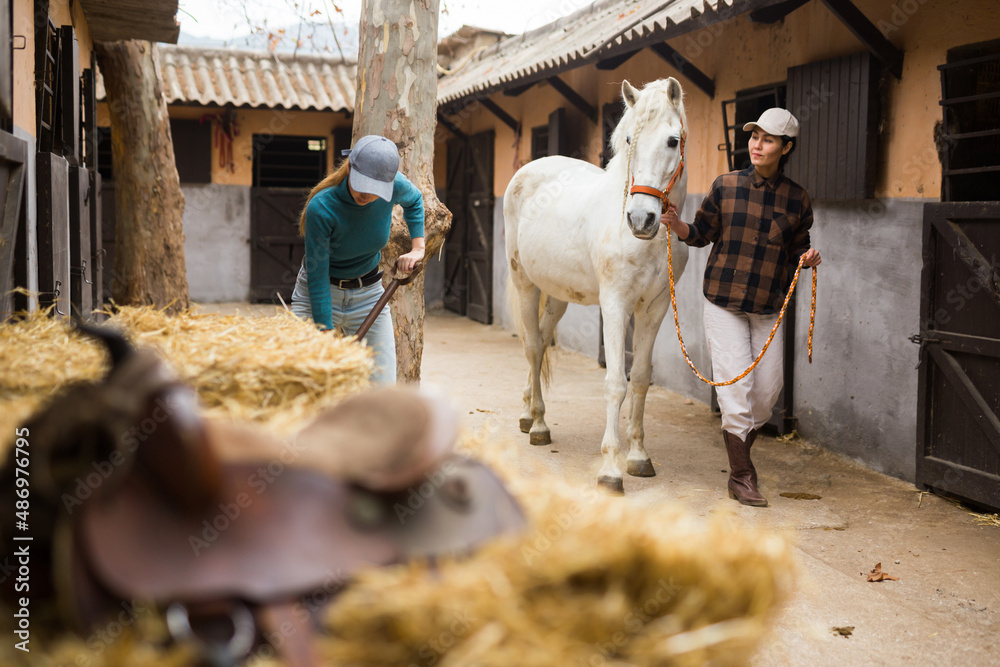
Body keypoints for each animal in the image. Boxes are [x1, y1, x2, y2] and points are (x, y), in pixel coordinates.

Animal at [504, 77, 690, 494]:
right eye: (628, 139)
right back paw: (538, 425)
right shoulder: (616, 304)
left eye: (673, 140)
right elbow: (616, 383)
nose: (641, 218)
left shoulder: (654, 308)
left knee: (541, 342)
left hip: (558, 297)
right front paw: (610, 469)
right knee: (533, 347)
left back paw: (526, 413)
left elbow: (641, 379)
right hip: (525, 284)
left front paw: (638, 457)